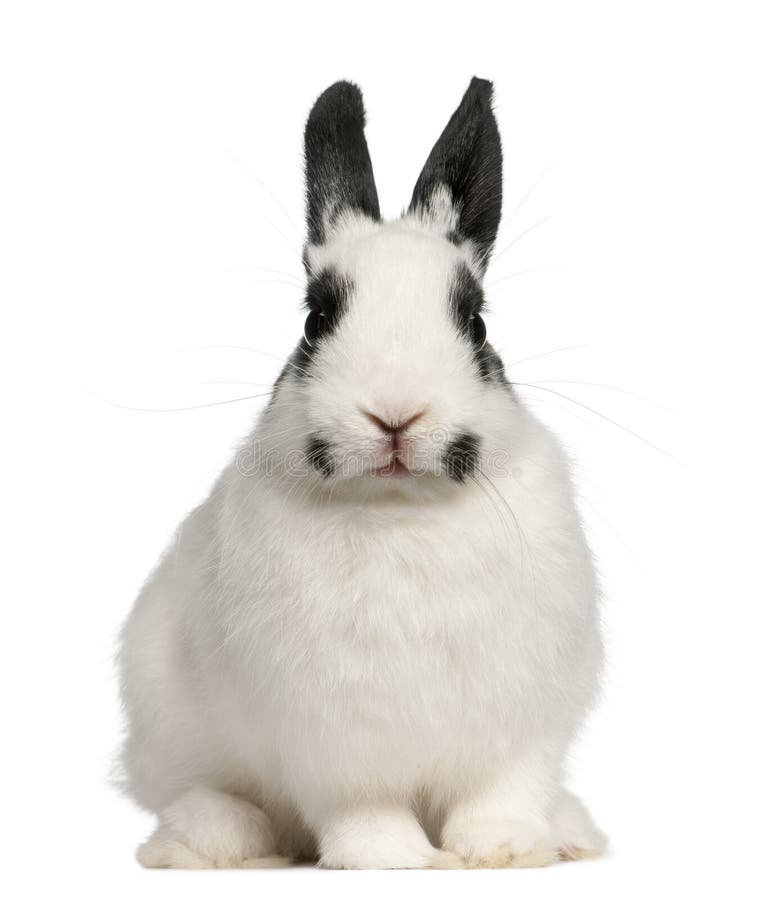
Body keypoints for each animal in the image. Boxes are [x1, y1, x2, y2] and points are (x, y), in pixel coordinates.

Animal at [118, 77, 606, 870]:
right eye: (317, 320)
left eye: (474, 322)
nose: (394, 412)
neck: (398, 506)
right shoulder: (331, 743)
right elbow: (362, 808)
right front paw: (391, 859)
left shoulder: (518, 724)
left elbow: (500, 791)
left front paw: (501, 851)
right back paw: (216, 839)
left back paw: (568, 831)